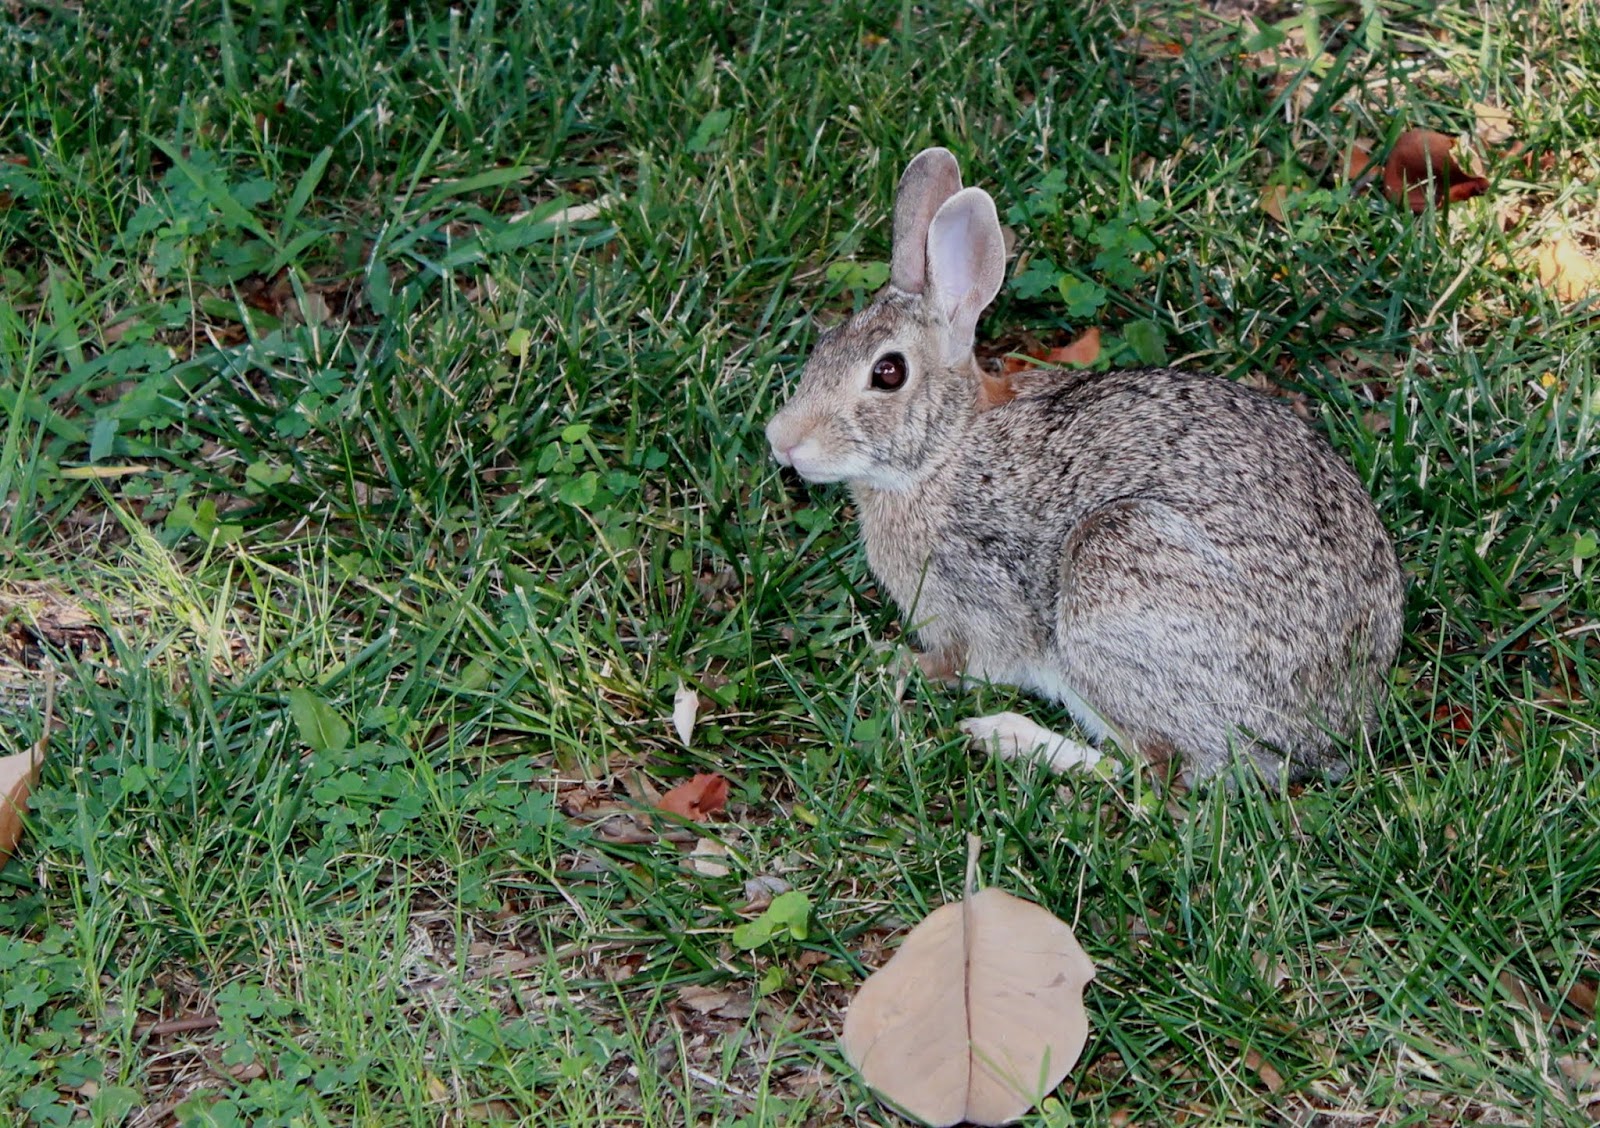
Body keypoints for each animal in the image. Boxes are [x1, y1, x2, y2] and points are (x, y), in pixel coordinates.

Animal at [765, 147, 1404, 786]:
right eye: (824, 345)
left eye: (888, 373)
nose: (781, 440)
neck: (945, 451)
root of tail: (1327, 727)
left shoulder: (974, 602)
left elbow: (960, 662)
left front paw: (895, 662)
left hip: (1112, 583)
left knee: (1150, 770)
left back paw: (1005, 736)